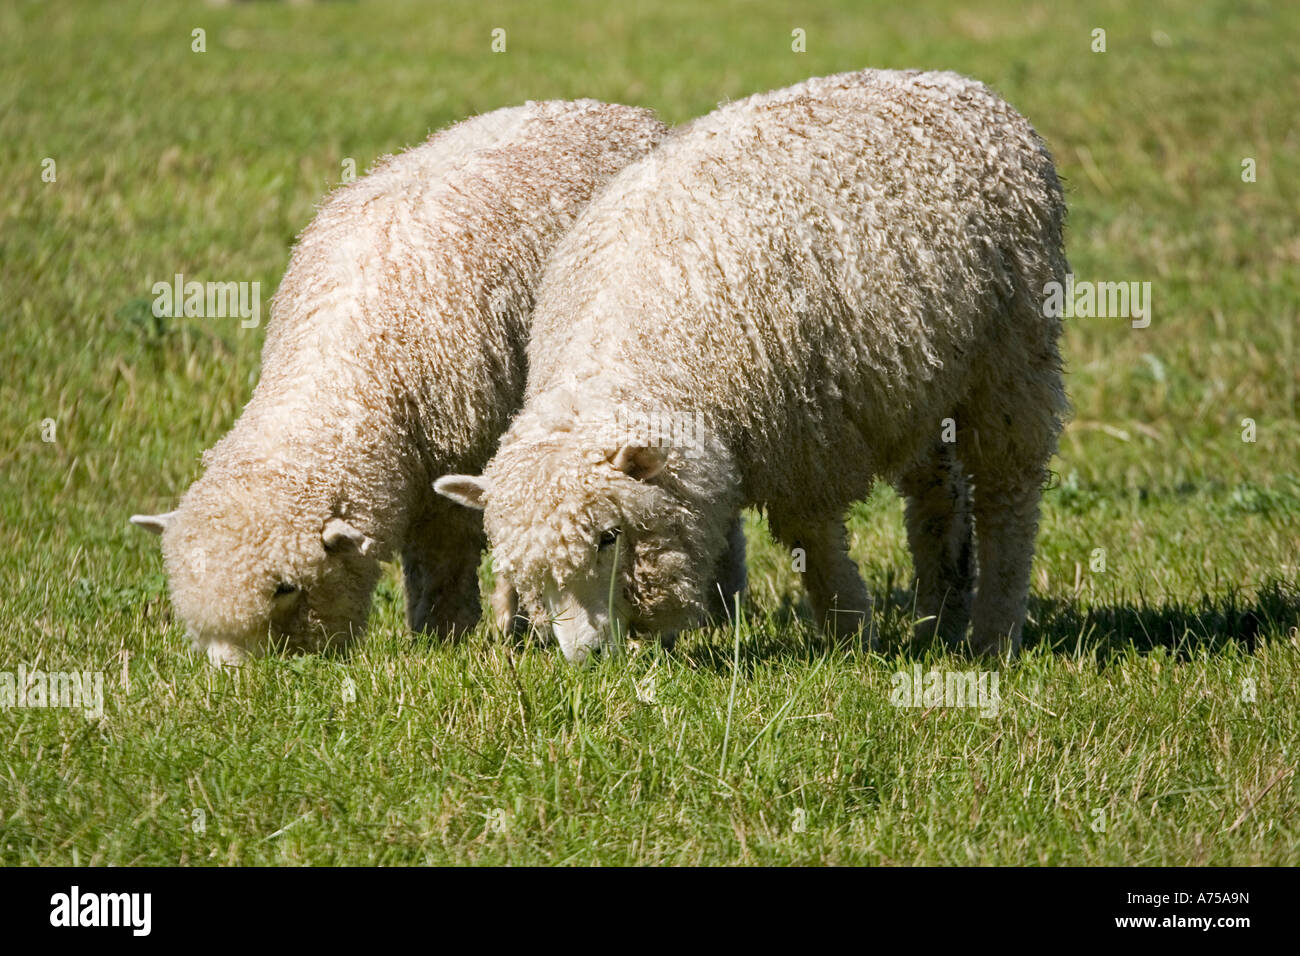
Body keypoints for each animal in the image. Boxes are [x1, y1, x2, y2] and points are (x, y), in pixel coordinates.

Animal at [131, 100, 670, 666]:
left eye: (286, 589)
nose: (232, 677)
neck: (350, 368)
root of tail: (616, 109)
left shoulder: (456, 469)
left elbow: (445, 566)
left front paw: (443, 635)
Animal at [434, 69, 1069, 662]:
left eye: (609, 536)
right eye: (525, 567)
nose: (585, 657)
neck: (631, 353)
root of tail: (957, 83)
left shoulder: (804, 441)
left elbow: (816, 542)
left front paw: (850, 636)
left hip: (1013, 358)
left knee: (1008, 494)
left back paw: (993, 634)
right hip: (926, 380)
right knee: (937, 493)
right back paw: (940, 622)